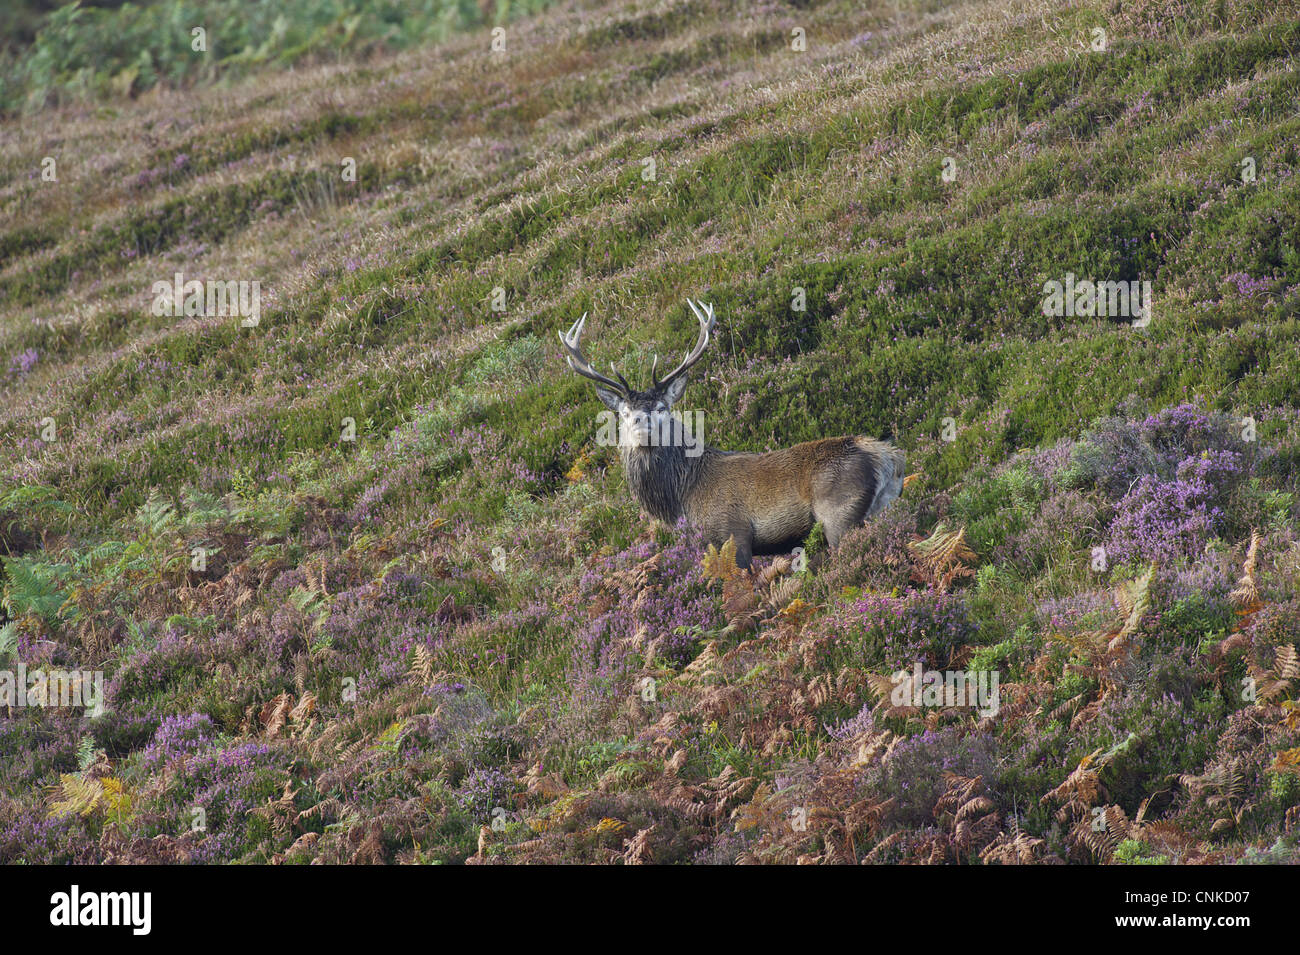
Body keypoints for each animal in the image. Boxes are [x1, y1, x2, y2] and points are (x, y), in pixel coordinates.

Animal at [558, 299, 905, 569]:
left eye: (661, 407)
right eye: (625, 412)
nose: (641, 423)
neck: (683, 497)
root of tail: (888, 458)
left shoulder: (733, 532)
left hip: (839, 515)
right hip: (883, 506)